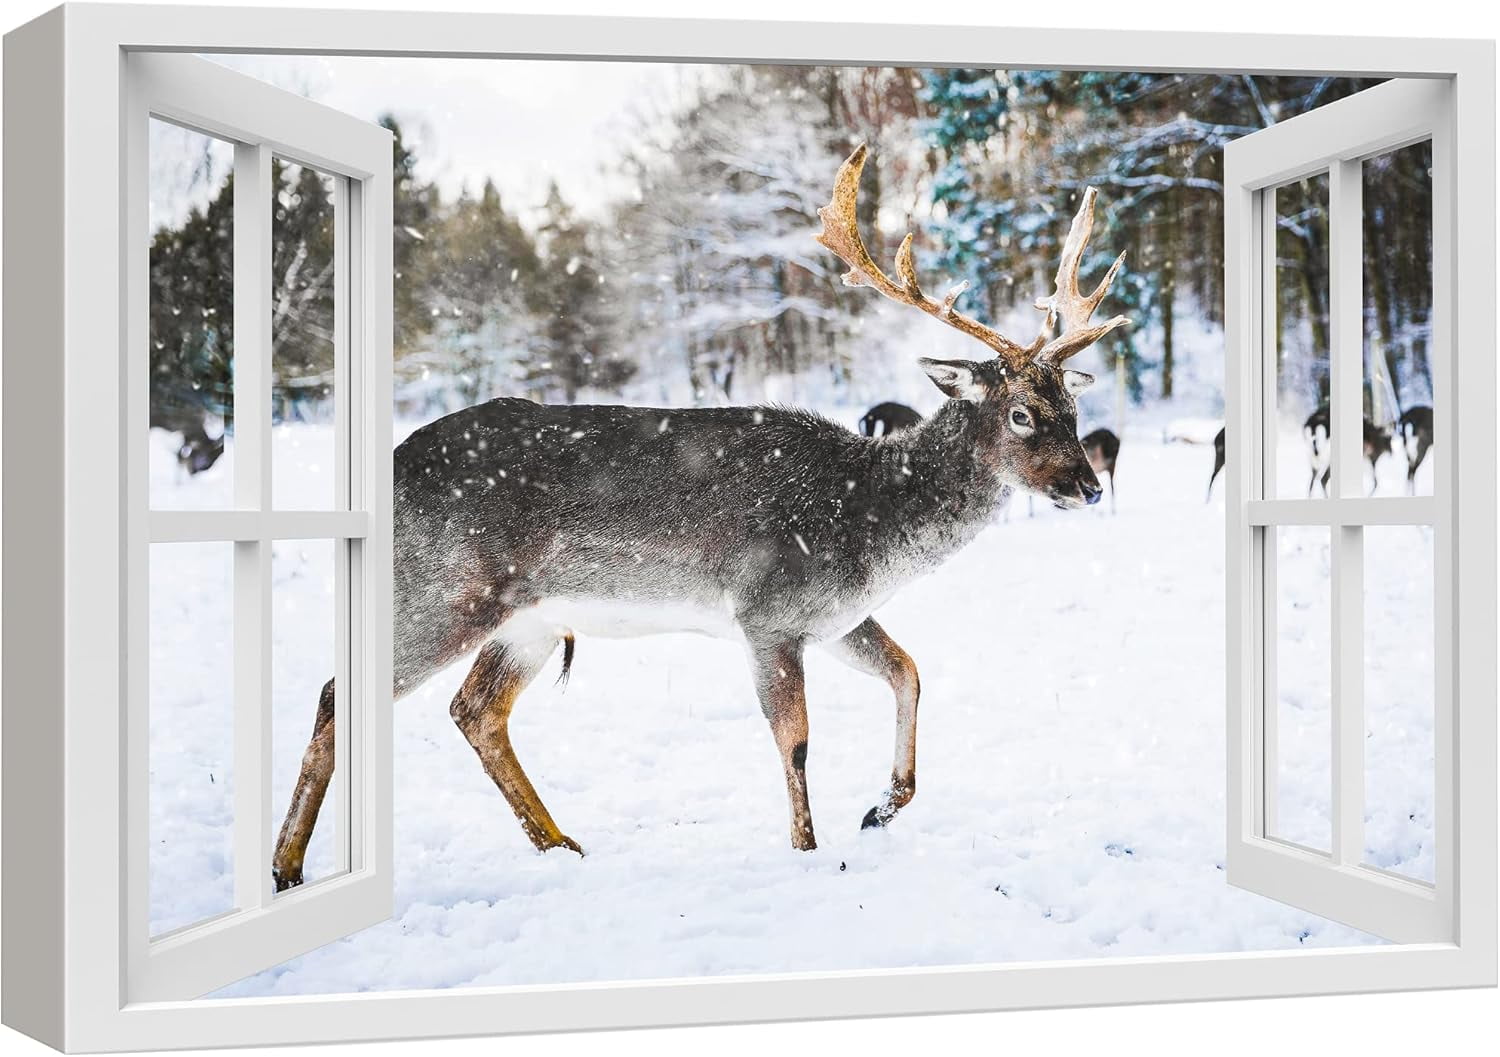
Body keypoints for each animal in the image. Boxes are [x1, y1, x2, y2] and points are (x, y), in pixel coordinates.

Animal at [268, 145, 1129, 889]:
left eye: (1072, 404)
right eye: (1020, 414)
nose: (1088, 487)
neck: (868, 522)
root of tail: (387, 469)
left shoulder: (835, 615)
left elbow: (910, 670)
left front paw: (881, 808)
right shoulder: (768, 609)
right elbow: (797, 740)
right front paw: (808, 851)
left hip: (530, 619)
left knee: (474, 711)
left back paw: (561, 843)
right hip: (445, 588)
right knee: (338, 692)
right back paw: (287, 867)